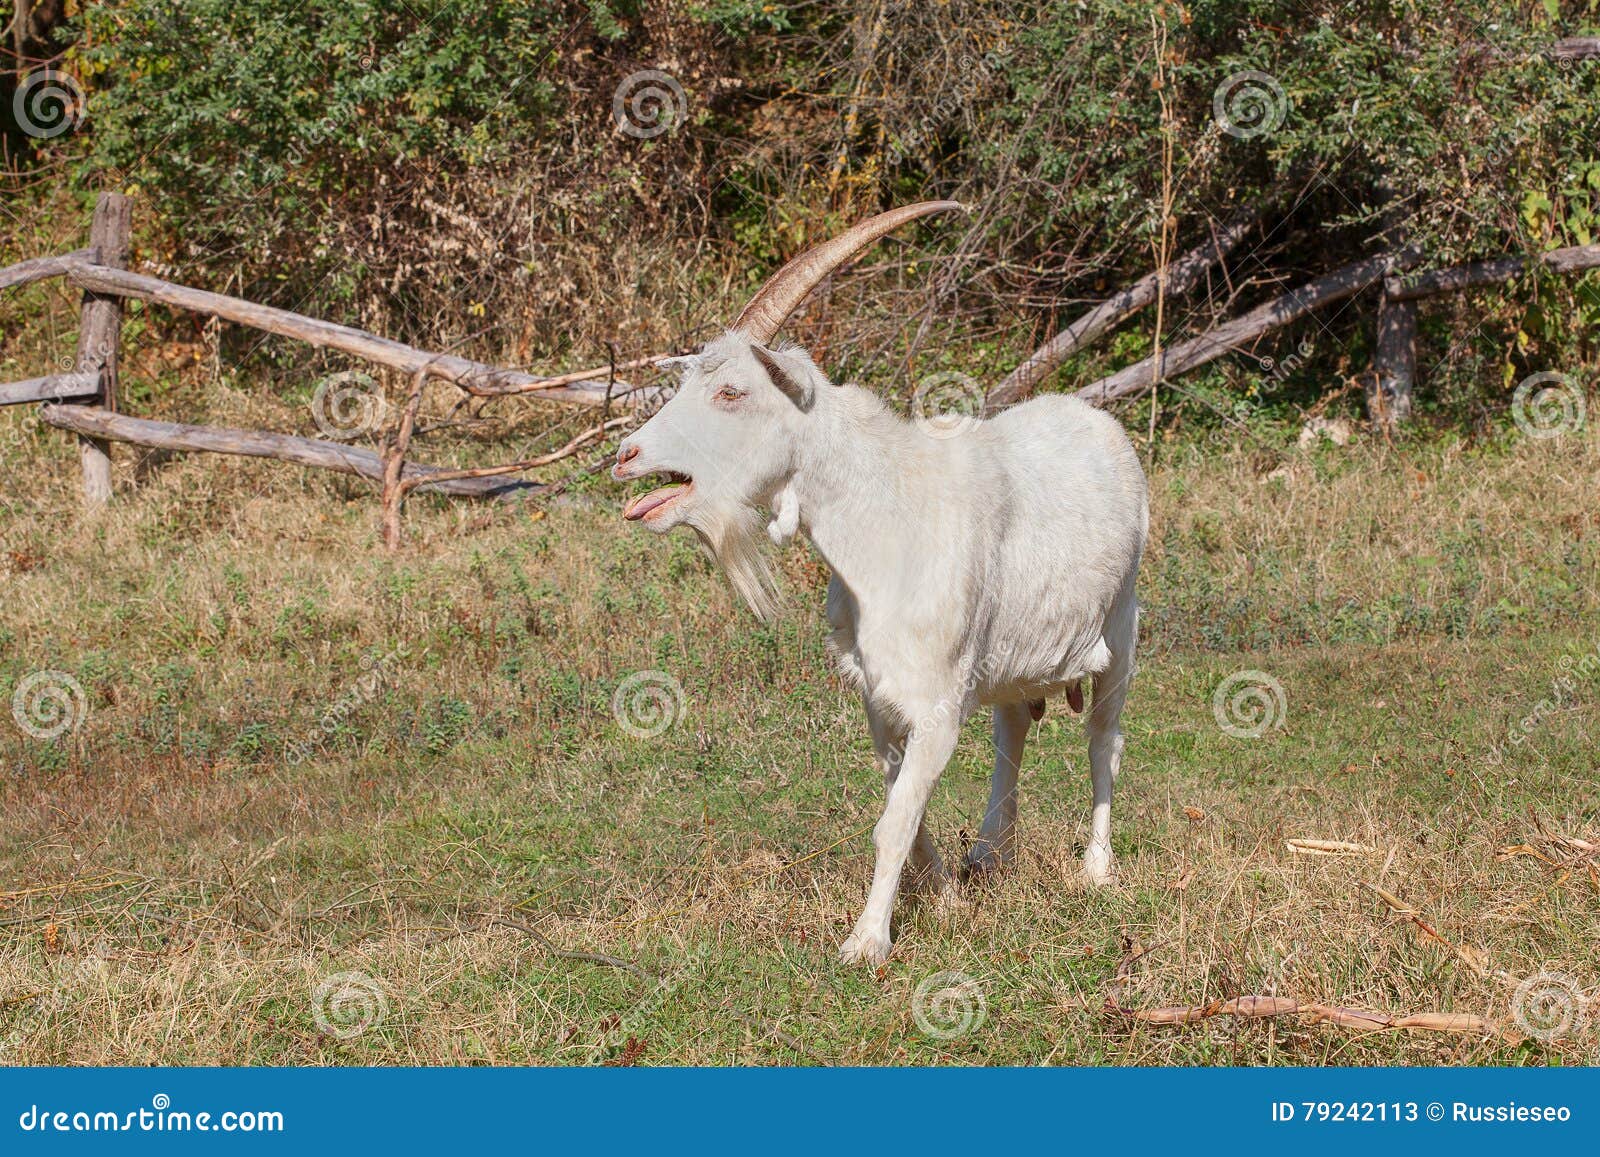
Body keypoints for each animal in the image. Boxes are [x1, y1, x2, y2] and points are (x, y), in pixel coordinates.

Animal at [613, 204, 1148, 965]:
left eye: (731, 391)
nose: (627, 454)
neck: (885, 522)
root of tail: (1098, 421)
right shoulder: (878, 698)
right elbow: (906, 811)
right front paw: (947, 898)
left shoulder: (938, 701)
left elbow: (895, 821)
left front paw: (867, 943)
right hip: (1012, 655)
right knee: (1013, 727)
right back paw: (990, 852)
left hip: (1122, 627)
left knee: (1106, 739)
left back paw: (1096, 868)